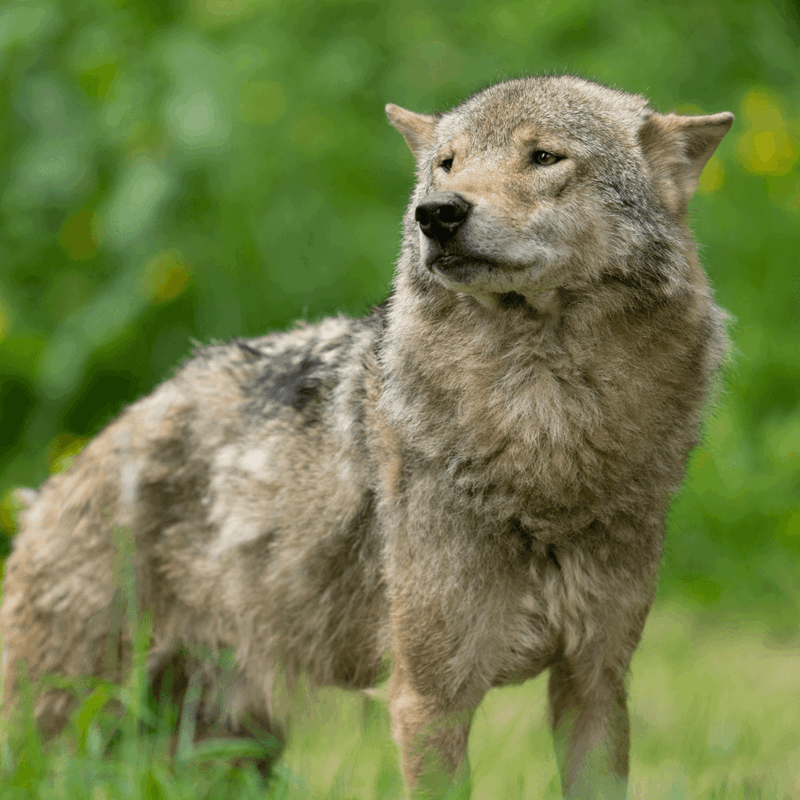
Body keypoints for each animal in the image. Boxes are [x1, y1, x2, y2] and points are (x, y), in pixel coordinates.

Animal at [1, 75, 731, 798]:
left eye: (544, 157)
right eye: (448, 163)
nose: (437, 213)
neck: (547, 441)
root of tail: (54, 482)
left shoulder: (596, 683)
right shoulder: (429, 700)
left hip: (234, 749)